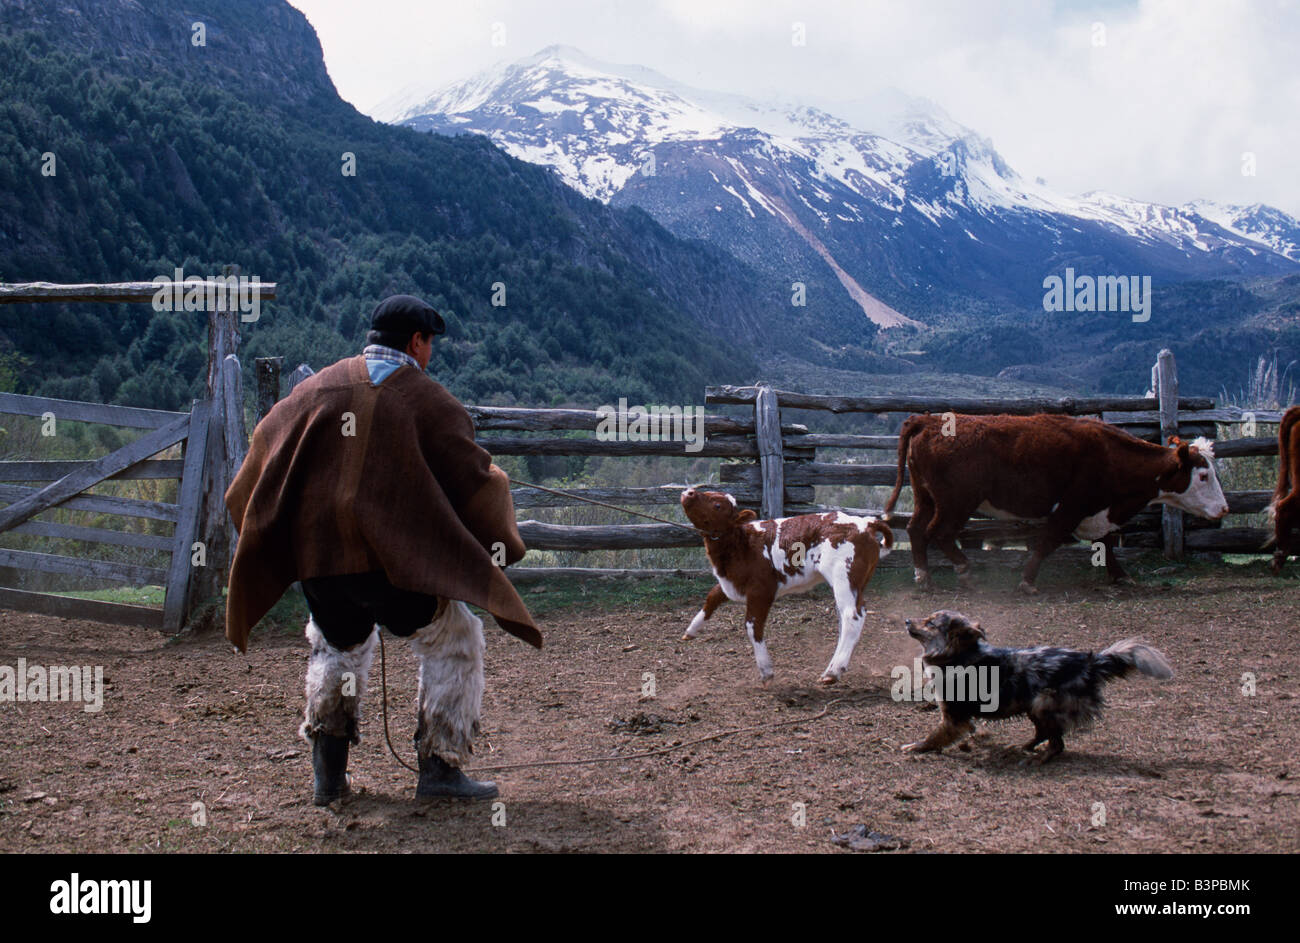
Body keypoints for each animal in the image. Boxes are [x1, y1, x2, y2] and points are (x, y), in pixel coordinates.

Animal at [679, 487, 893, 684]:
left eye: (717, 505)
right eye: (707, 491)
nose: (688, 492)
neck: (742, 544)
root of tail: (866, 523)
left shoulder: (762, 590)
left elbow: (752, 626)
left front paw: (766, 670)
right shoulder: (731, 584)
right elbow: (712, 597)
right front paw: (691, 630)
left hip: (844, 578)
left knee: (852, 615)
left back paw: (832, 672)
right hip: (855, 583)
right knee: (847, 617)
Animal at [882, 413, 1229, 594]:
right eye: (1202, 475)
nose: (1224, 508)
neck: (1110, 455)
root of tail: (926, 420)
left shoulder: (1097, 511)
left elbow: (1106, 543)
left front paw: (1121, 575)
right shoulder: (1071, 507)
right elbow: (1048, 541)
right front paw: (1027, 581)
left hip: (926, 497)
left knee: (915, 530)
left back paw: (923, 577)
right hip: (955, 503)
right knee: (939, 533)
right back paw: (964, 571)